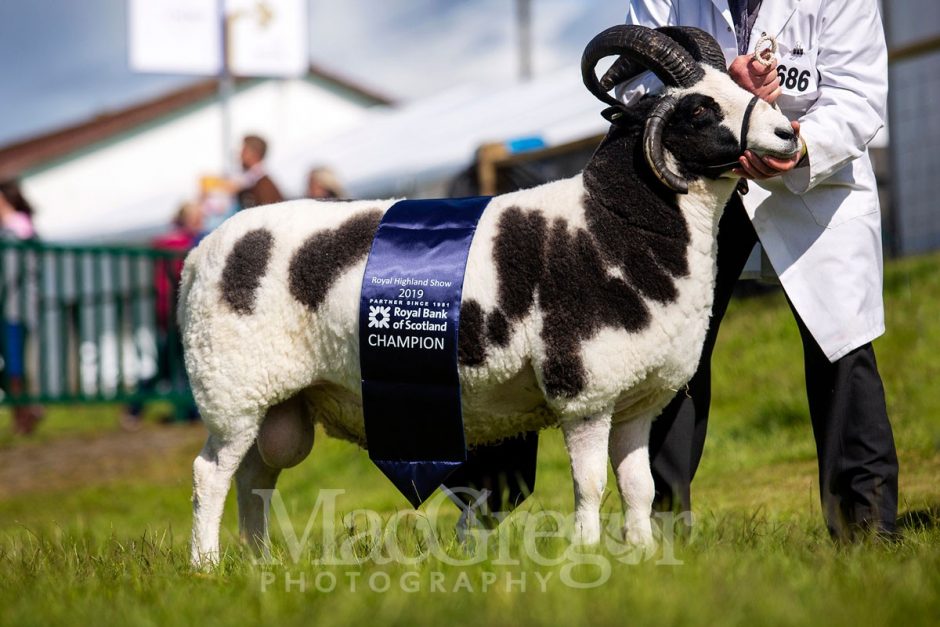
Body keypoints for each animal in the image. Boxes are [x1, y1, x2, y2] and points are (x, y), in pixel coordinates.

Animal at [181, 25, 800, 567]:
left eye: (739, 85)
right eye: (697, 109)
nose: (787, 135)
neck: (613, 223)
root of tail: (200, 254)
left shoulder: (638, 399)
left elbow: (639, 486)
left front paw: (643, 554)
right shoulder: (584, 392)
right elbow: (591, 483)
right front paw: (587, 554)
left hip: (274, 401)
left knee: (254, 478)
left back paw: (259, 562)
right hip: (231, 389)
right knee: (211, 474)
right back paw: (206, 566)